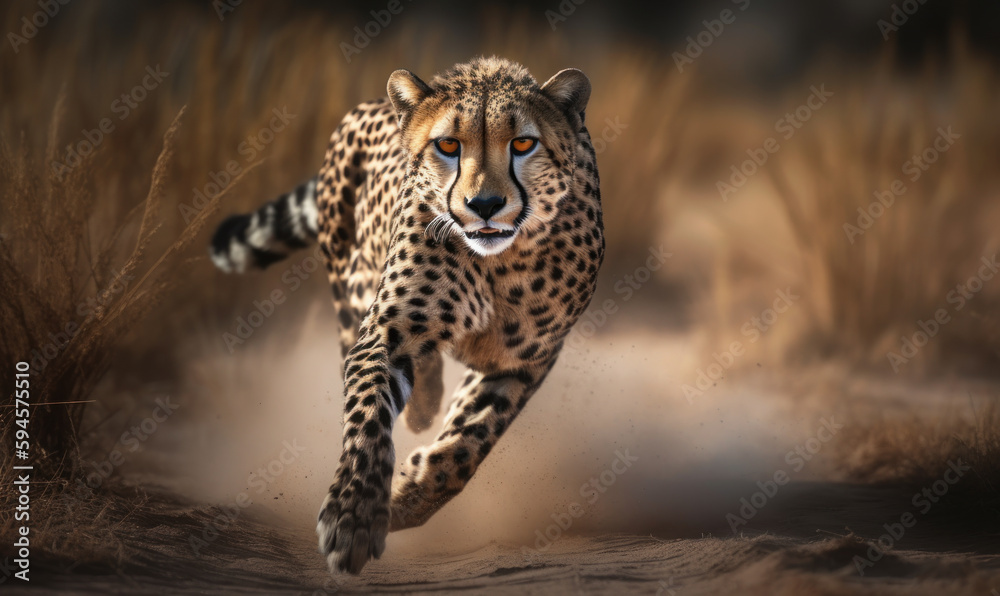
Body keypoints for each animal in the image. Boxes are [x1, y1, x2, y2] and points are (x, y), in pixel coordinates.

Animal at [210, 56, 604, 574]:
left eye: (523, 143)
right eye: (448, 145)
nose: (484, 205)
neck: (497, 263)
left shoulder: (520, 360)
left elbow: (468, 444)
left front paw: (405, 497)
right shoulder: (386, 331)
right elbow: (368, 419)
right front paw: (354, 515)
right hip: (351, 290)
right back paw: (420, 404)